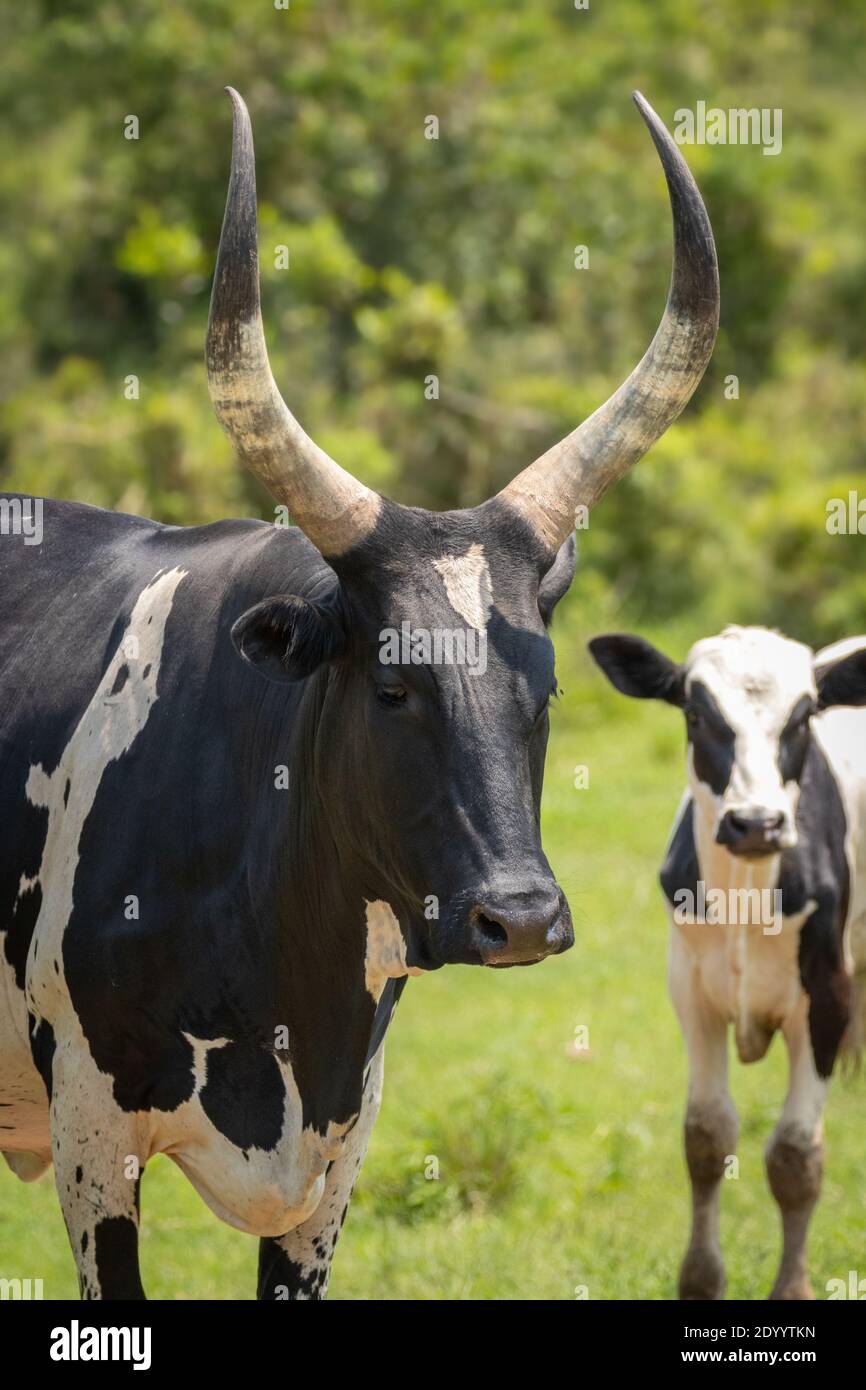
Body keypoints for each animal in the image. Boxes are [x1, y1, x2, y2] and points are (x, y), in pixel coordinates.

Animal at [588, 625, 866, 1300]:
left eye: (804, 716)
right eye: (696, 714)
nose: (757, 823)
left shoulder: (827, 997)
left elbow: (795, 1156)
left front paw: (791, 1289)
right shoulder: (690, 992)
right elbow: (706, 1138)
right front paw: (700, 1279)